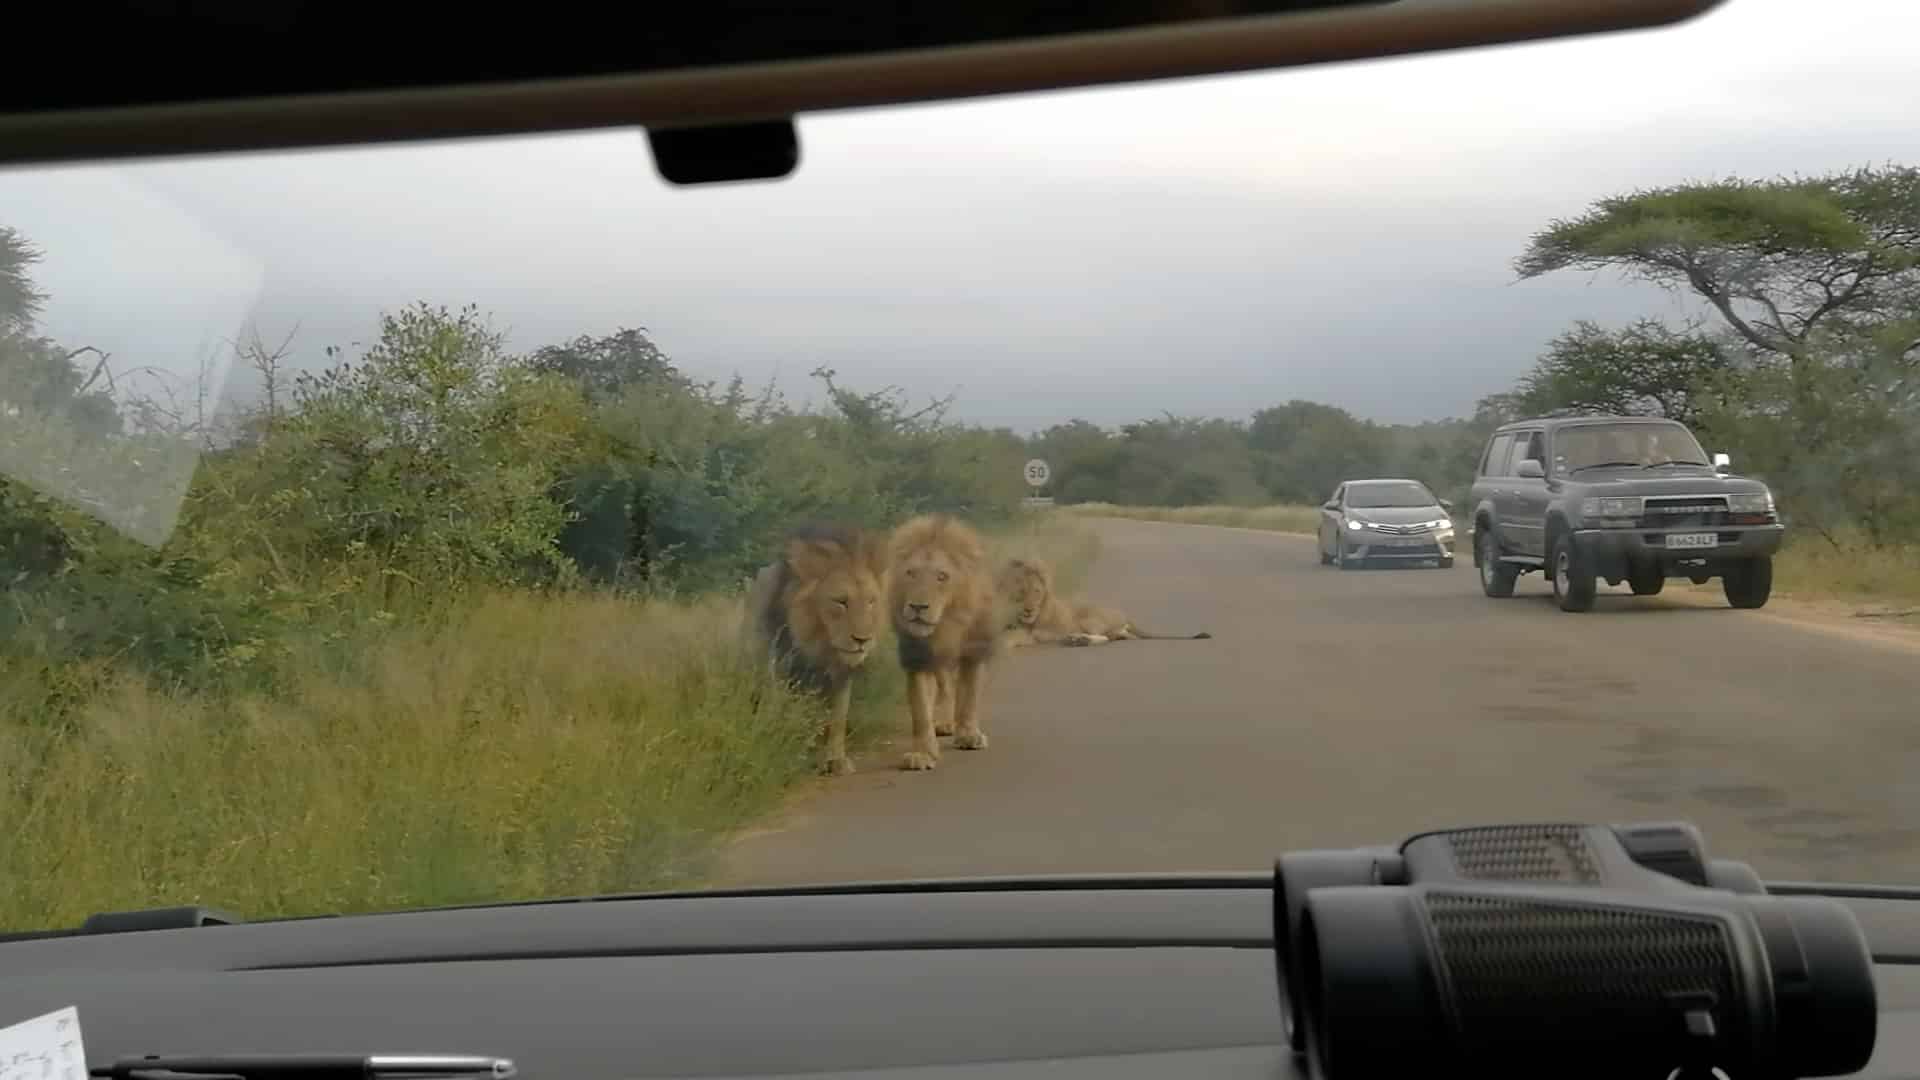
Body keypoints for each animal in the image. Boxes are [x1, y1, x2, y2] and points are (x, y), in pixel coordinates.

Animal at [743, 524, 889, 776]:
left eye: (871, 601)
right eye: (840, 601)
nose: (863, 639)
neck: (819, 647)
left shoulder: (841, 675)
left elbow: (838, 717)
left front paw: (835, 760)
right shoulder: (780, 670)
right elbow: (782, 713)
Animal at [887, 513, 1000, 771]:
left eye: (942, 576)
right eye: (910, 573)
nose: (918, 607)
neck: (947, 625)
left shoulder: (973, 651)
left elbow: (969, 696)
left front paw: (969, 735)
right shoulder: (918, 654)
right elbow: (920, 709)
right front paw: (923, 754)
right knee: (945, 685)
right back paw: (945, 723)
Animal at [997, 556, 1212, 647]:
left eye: (1037, 592)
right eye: (1021, 592)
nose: (1029, 610)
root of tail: (1125, 615)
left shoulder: (1031, 634)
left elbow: (1010, 638)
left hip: (1089, 618)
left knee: (1103, 637)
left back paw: (1077, 640)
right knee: (1120, 637)